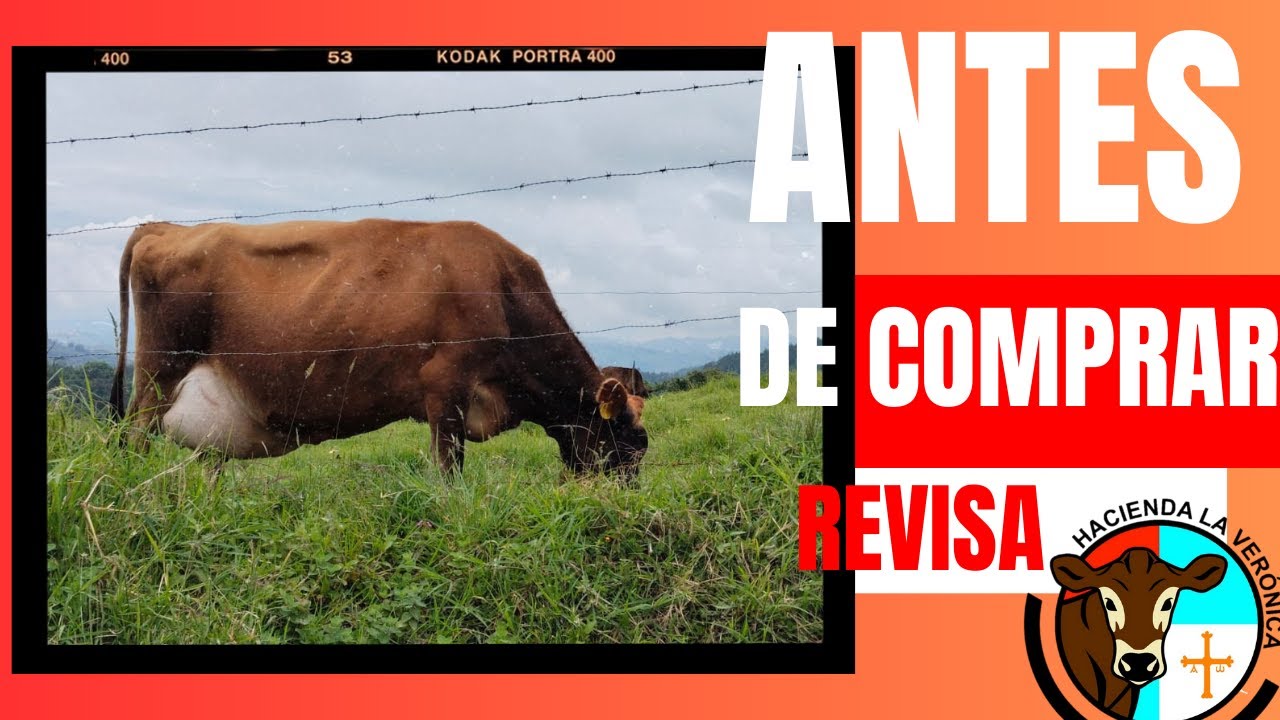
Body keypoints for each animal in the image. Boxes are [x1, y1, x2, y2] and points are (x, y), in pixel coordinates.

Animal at [109, 219, 649, 478]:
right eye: (630, 445)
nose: (627, 500)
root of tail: (164, 227)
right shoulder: (444, 386)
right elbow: (449, 472)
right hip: (159, 375)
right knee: (135, 439)